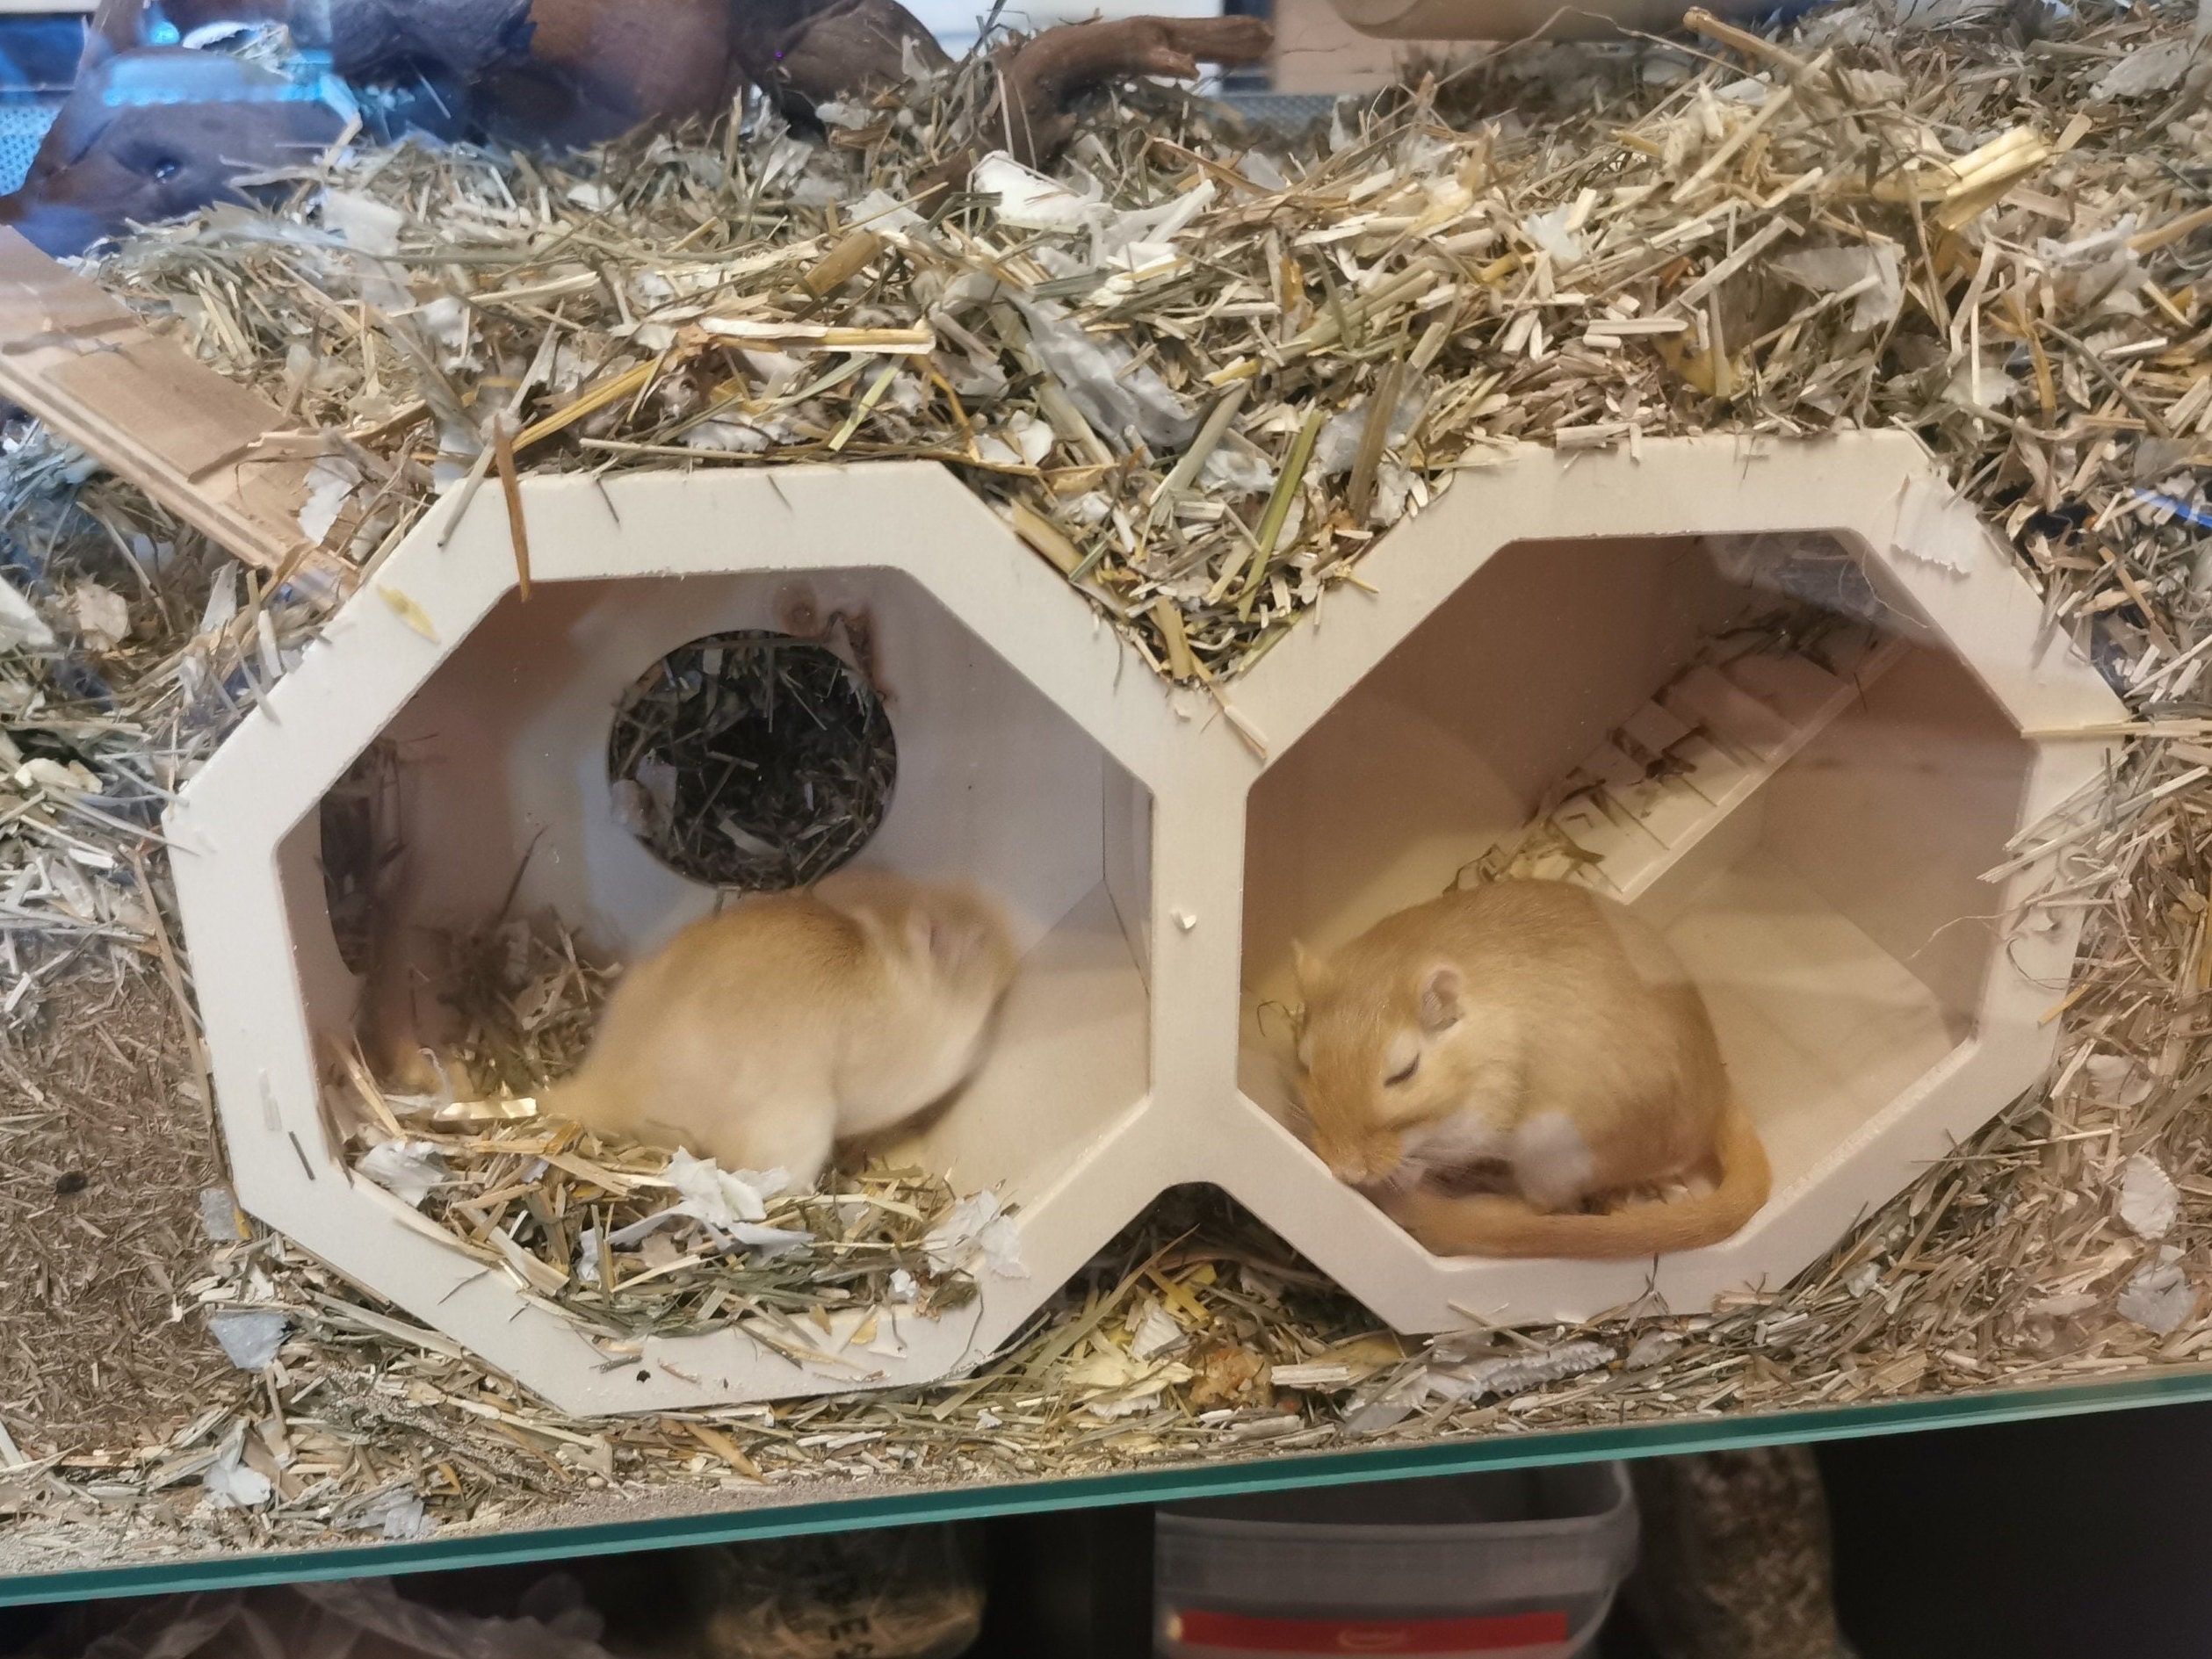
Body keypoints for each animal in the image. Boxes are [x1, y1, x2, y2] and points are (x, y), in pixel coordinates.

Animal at [1292, 878, 1769, 1260]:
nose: (1346, 1172)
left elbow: (1438, 1150)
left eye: (1404, 1073)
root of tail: (1715, 1099)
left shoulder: (1484, 1114)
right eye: (1305, 1062)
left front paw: (1403, 1176)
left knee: (1541, 1207)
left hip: (1555, 1152)